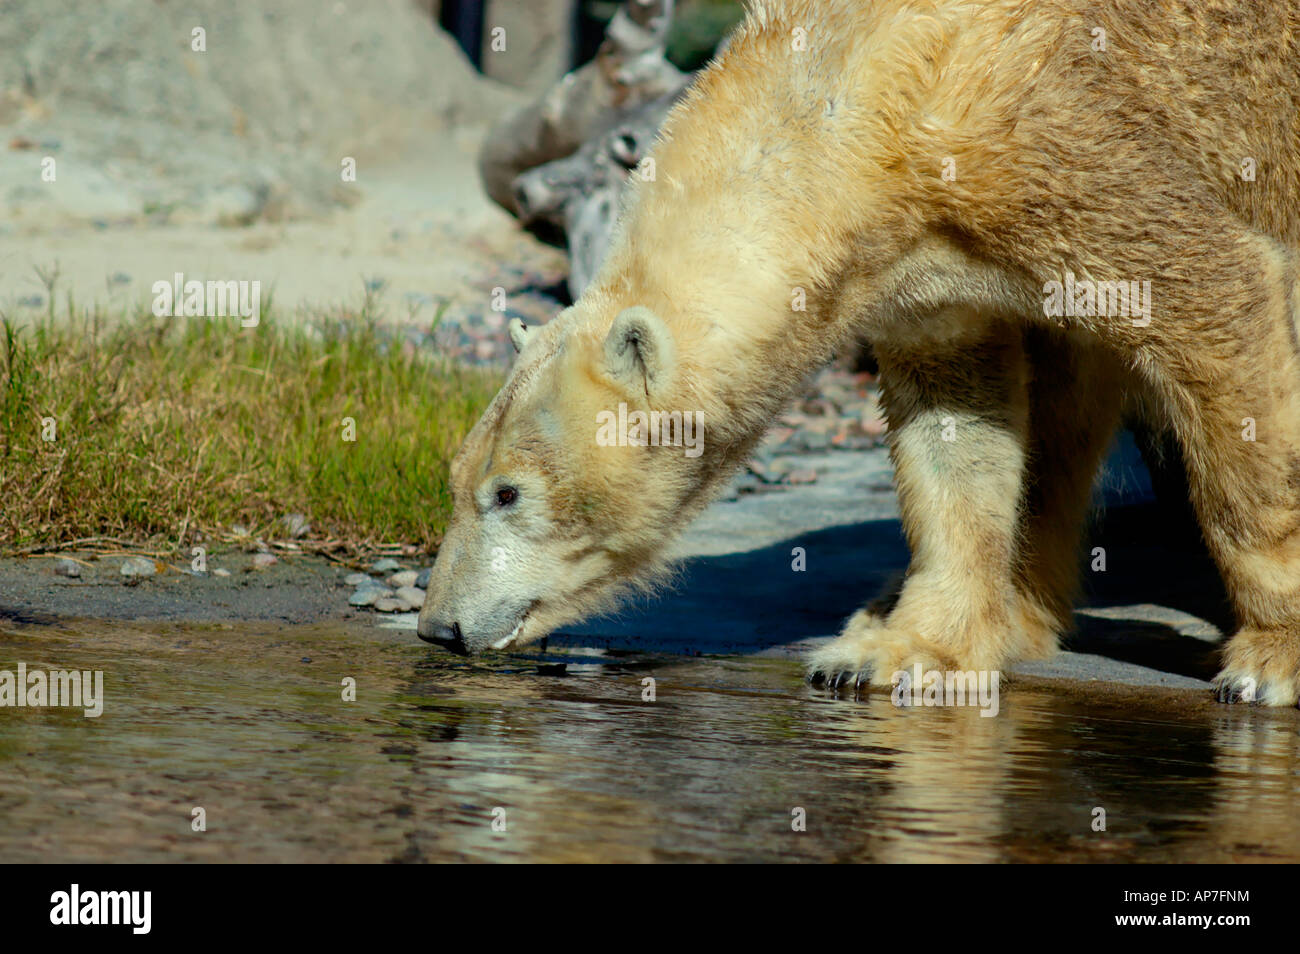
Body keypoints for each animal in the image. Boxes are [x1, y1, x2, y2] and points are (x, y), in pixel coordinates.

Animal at [418, 0, 1300, 706]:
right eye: (455, 480)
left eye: (508, 493)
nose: (437, 627)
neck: (861, 87)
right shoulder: (927, 256)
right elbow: (959, 423)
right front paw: (901, 652)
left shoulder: (1057, 147)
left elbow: (1212, 298)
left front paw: (1271, 661)